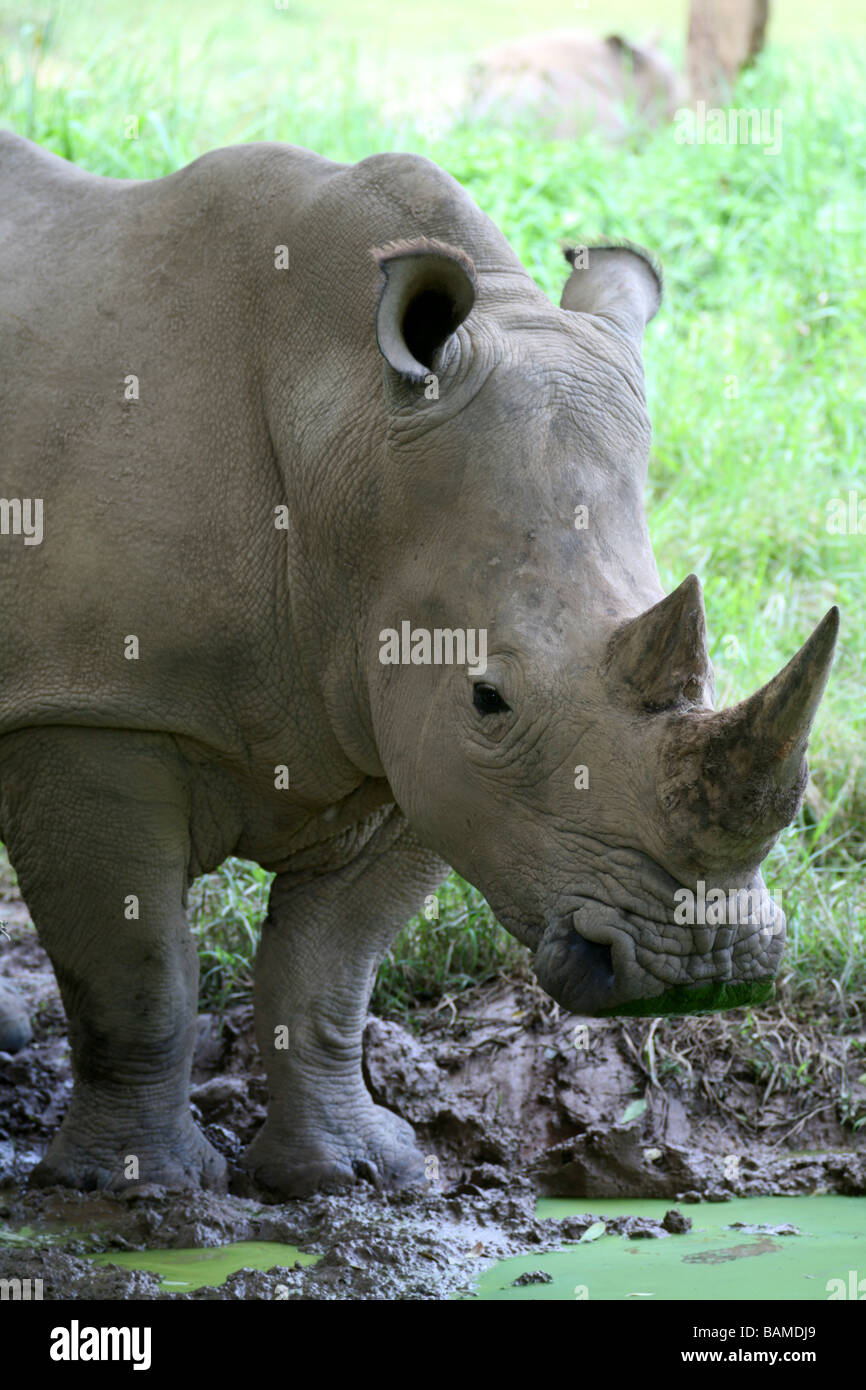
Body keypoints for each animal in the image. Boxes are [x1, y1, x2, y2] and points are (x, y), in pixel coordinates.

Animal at [0, 132, 837, 1195]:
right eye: (490, 698)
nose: (701, 973)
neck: (346, 435)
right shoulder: (95, 706)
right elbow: (138, 975)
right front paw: (129, 1189)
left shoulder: (403, 730)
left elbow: (327, 969)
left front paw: (352, 1171)